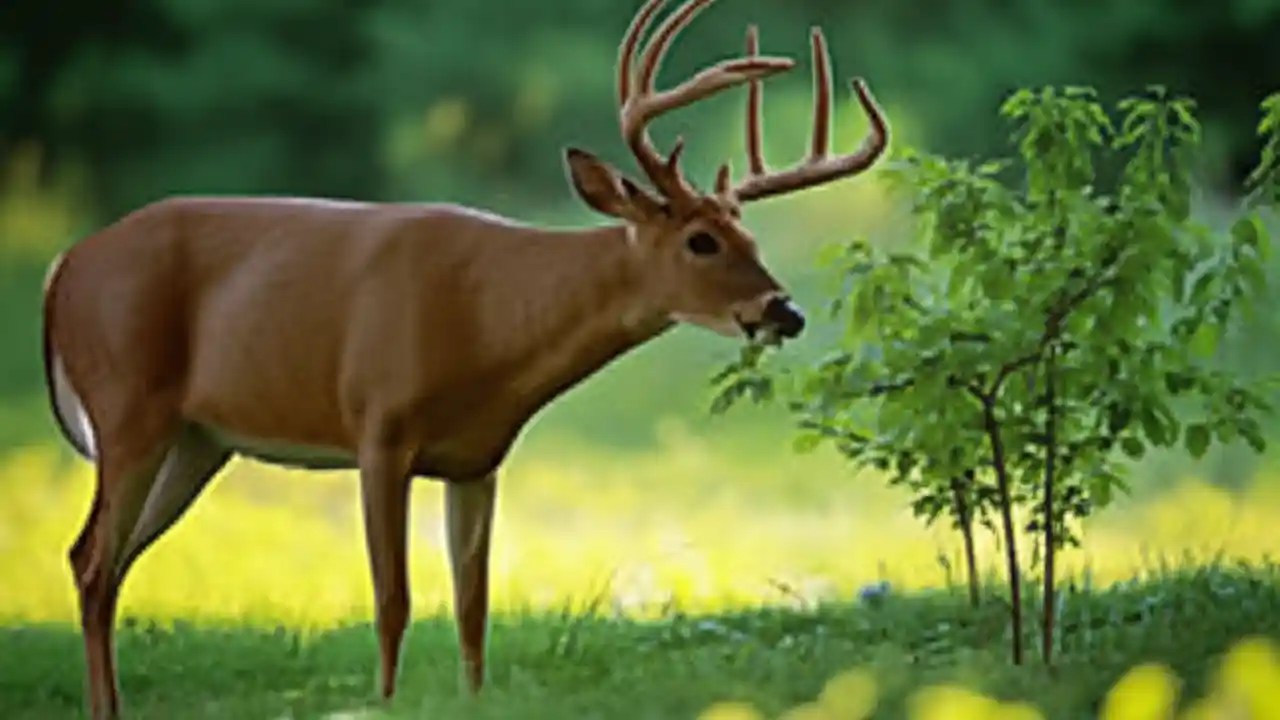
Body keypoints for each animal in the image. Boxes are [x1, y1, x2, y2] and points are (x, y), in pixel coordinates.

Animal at [40, 0, 888, 716]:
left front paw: (472, 698)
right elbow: (393, 597)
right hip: (127, 406)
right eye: (702, 240)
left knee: (104, 563)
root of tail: (64, 267)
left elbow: (473, 601)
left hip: (197, 443)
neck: (491, 326)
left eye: (750, 236)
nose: (784, 311)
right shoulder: (377, 424)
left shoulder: (478, 457)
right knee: (91, 558)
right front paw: (383, 702)